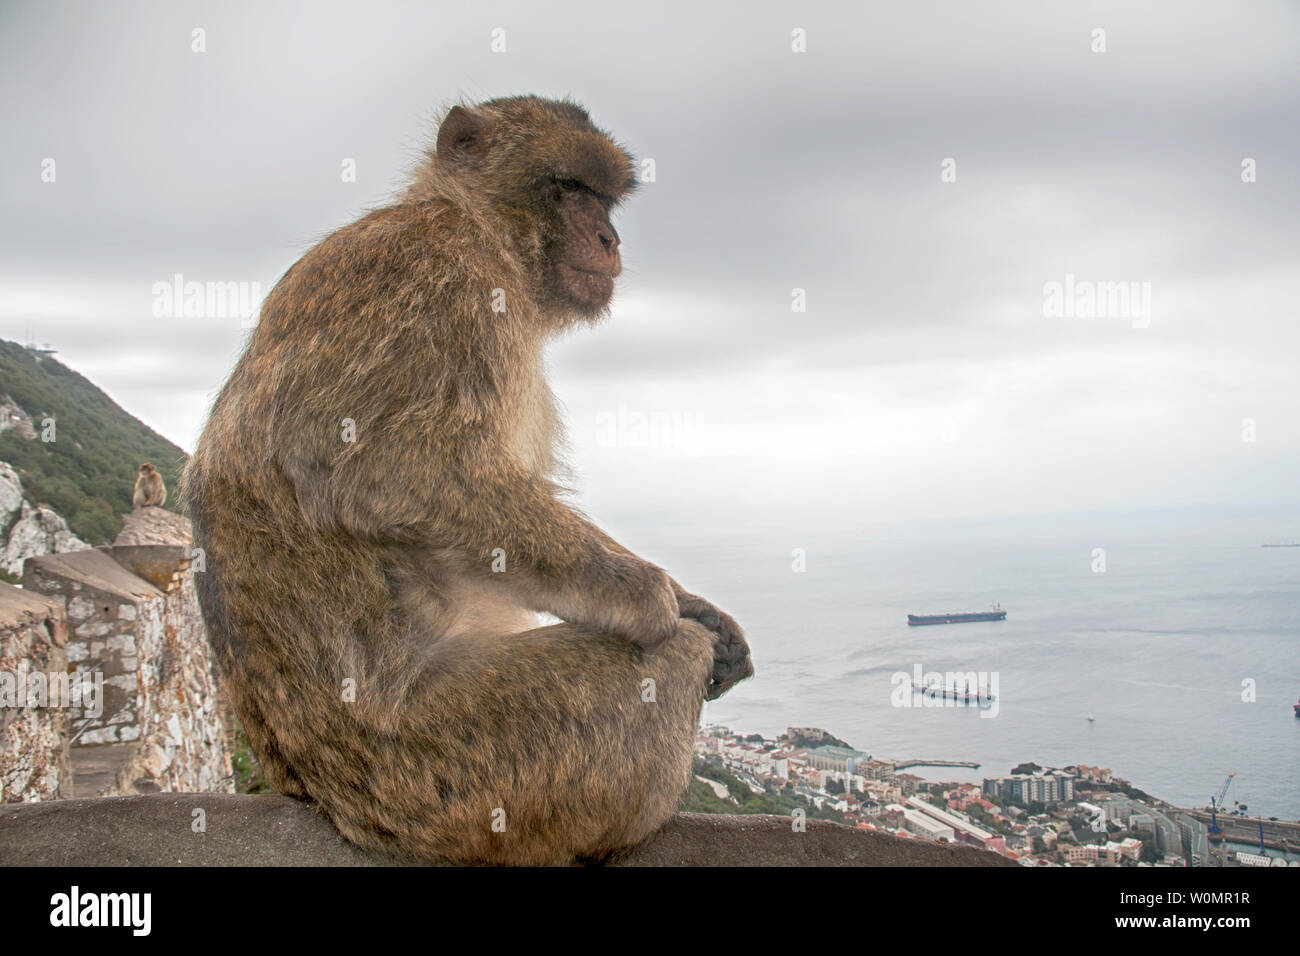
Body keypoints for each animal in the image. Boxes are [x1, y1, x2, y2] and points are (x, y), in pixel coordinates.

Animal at [183, 96, 753, 865]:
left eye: (604, 198)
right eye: (568, 187)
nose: (608, 237)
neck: (476, 224)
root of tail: (320, 796)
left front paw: (702, 609)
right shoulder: (435, 275)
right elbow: (378, 462)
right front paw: (651, 598)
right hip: (456, 769)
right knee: (660, 667)